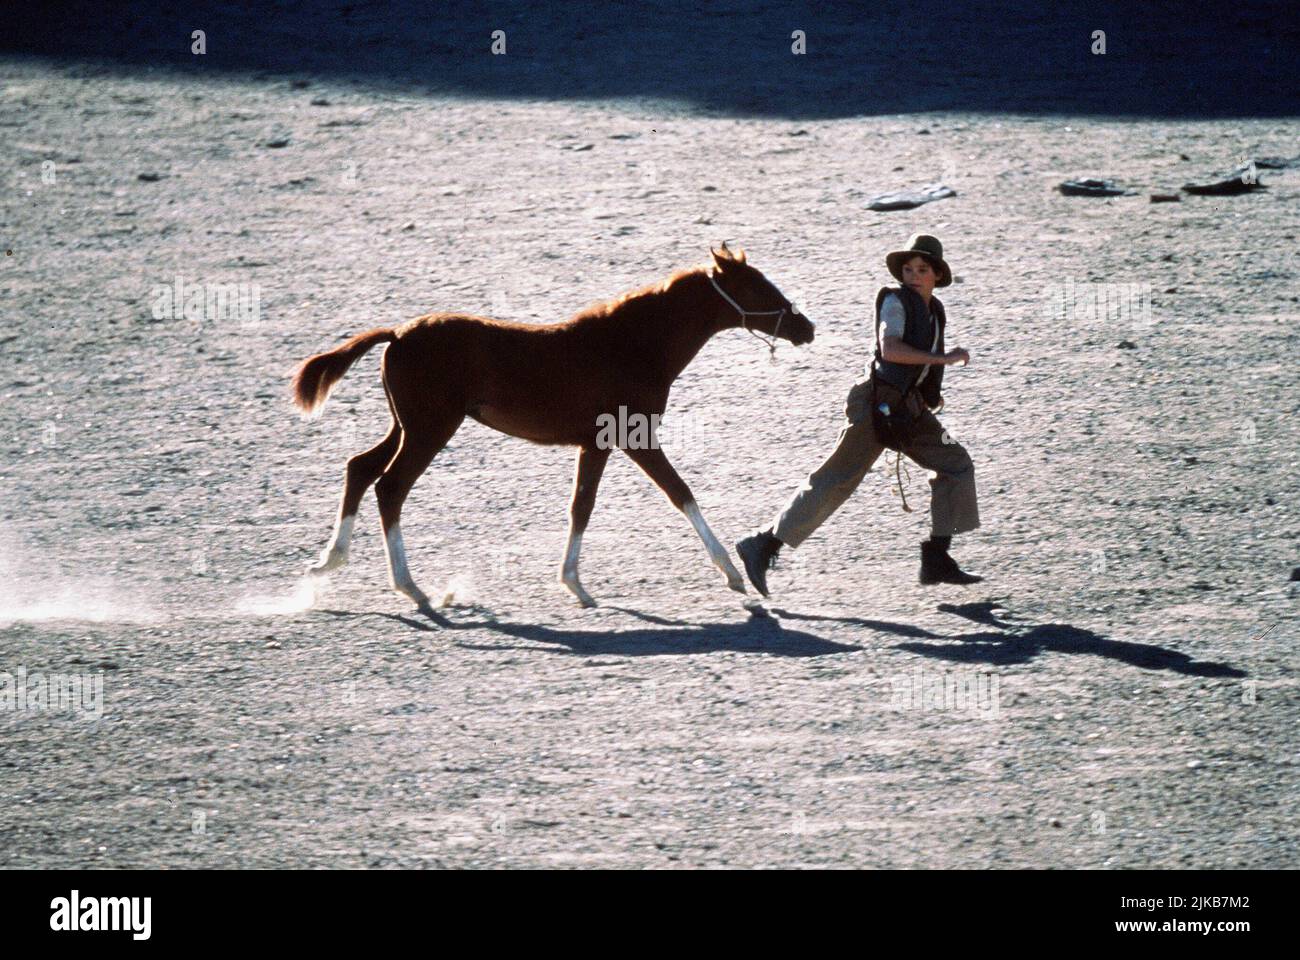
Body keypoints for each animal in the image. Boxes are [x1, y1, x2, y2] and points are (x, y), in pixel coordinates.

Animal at [290, 243, 815, 610]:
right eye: (758, 287)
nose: (806, 328)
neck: (630, 344)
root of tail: (397, 334)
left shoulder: (596, 444)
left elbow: (581, 507)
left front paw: (575, 585)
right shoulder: (633, 436)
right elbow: (678, 492)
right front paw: (732, 573)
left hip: (408, 426)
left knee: (360, 468)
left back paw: (329, 563)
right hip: (429, 429)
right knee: (389, 487)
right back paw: (412, 588)